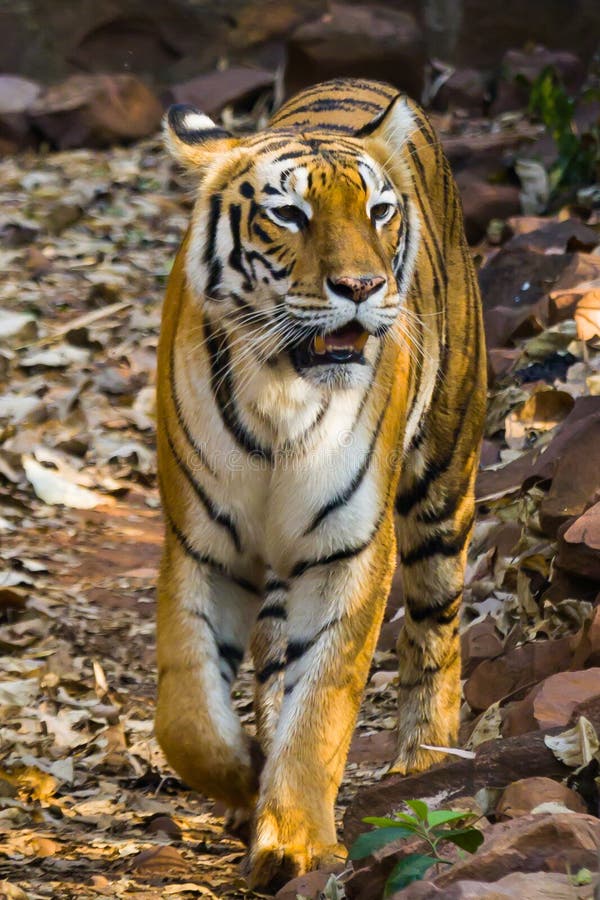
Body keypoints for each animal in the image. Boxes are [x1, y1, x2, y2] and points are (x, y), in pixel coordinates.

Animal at [155, 77, 486, 890]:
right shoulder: (201, 545)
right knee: (272, 660)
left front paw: (297, 841)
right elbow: (187, 714)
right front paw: (247, 781)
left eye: (378, 211)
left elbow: (324, 703)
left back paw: (422, 762)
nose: (362, 286)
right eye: (289, 215)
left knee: (436, 626)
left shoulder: (348, 548)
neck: (282, 391)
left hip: (444, 475)